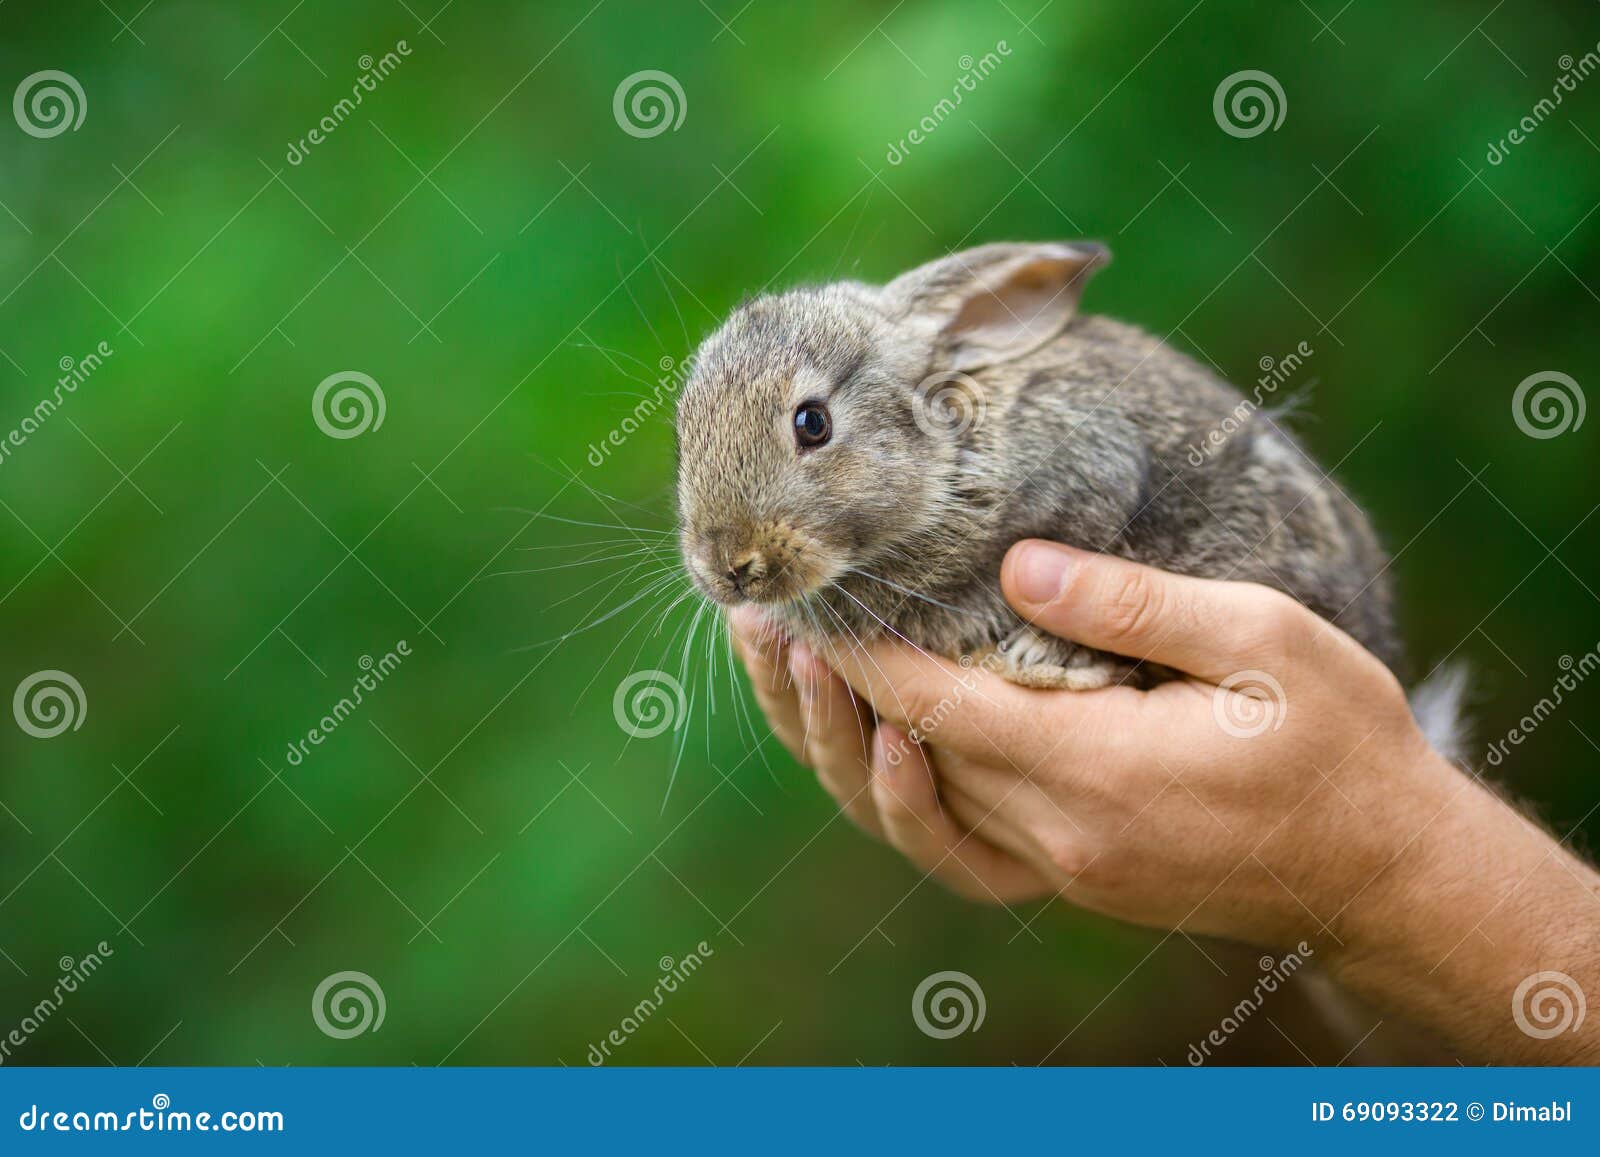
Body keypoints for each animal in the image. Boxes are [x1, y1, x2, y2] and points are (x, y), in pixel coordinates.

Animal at [673, 241, 1409, 701]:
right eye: (682, 432)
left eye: (812, 423)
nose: (727, 567)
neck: (951, 458)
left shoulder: (1098, 477)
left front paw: (1049, 655)